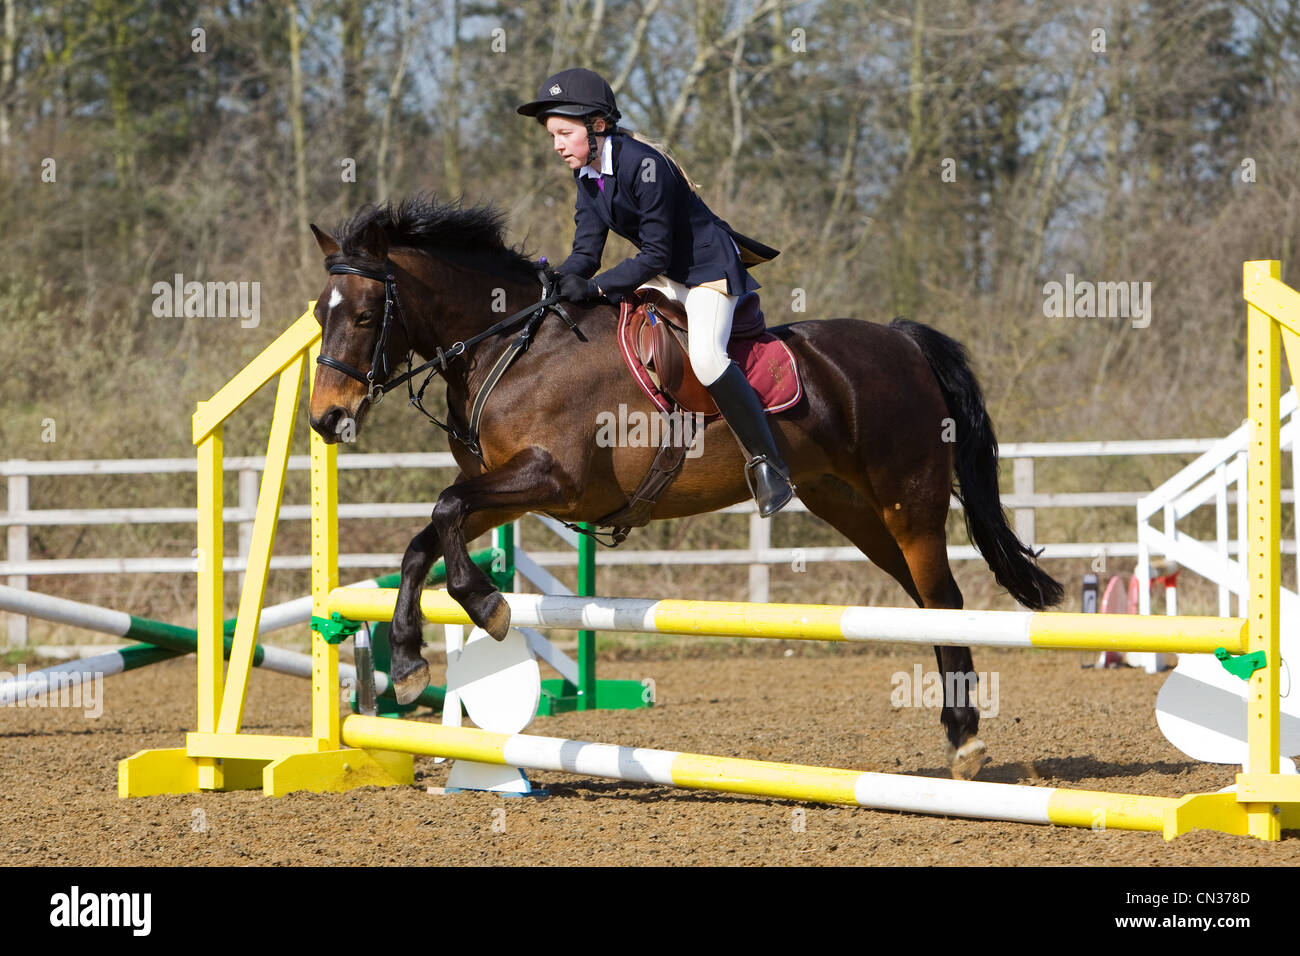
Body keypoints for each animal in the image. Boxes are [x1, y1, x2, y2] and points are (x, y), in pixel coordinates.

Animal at [306, 194, 1063, 779]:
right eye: (320, 314)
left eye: (367, 316)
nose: (325, 420)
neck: (514, 346)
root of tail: (904, 341)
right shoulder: (502, 488)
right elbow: (427, 537)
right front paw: (409, 660)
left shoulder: (552, 480)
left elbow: (445, 512)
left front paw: (486, 605)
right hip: (852, 508)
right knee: (928, 601)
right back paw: (959, 734)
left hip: (908, 501)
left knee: (945, 599)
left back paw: (966, 741)